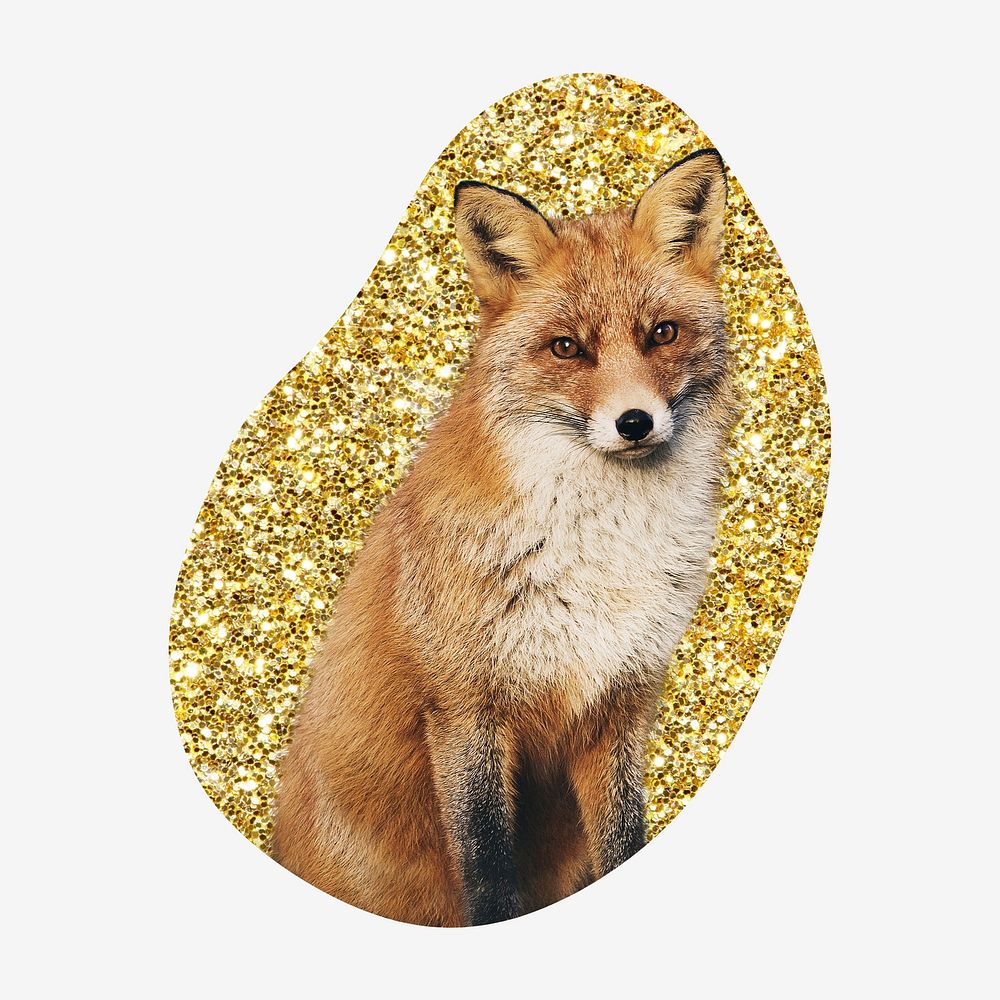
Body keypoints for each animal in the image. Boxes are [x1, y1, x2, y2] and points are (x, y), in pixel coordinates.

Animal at [271, 148, 737, 926]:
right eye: (567, 348)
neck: (600, 555)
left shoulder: (620, 707)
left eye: (662, 333)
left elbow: (624, 845)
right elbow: (488, 874)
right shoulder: (465, 710)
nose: (634, 422)